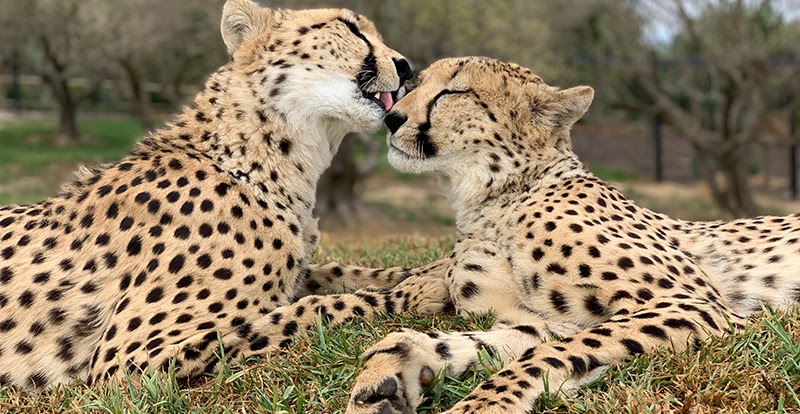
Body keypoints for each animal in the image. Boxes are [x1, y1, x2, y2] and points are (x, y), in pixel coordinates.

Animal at [0, 0, 452, 391]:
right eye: (350, 27)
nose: (406, 66)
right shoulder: (125, 362)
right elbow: (292, 313)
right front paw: (414, 294)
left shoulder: (296, 273)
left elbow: (339, 271)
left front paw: (431, 269)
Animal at [344, 56, 800, 414]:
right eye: (416, 84)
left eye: (453, 92)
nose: (391, 119)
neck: (496, 199)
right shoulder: (542, 319)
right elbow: (483, 341)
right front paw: (394, 365)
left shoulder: (698, 304)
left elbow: (546, 353)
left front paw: (483, 402)